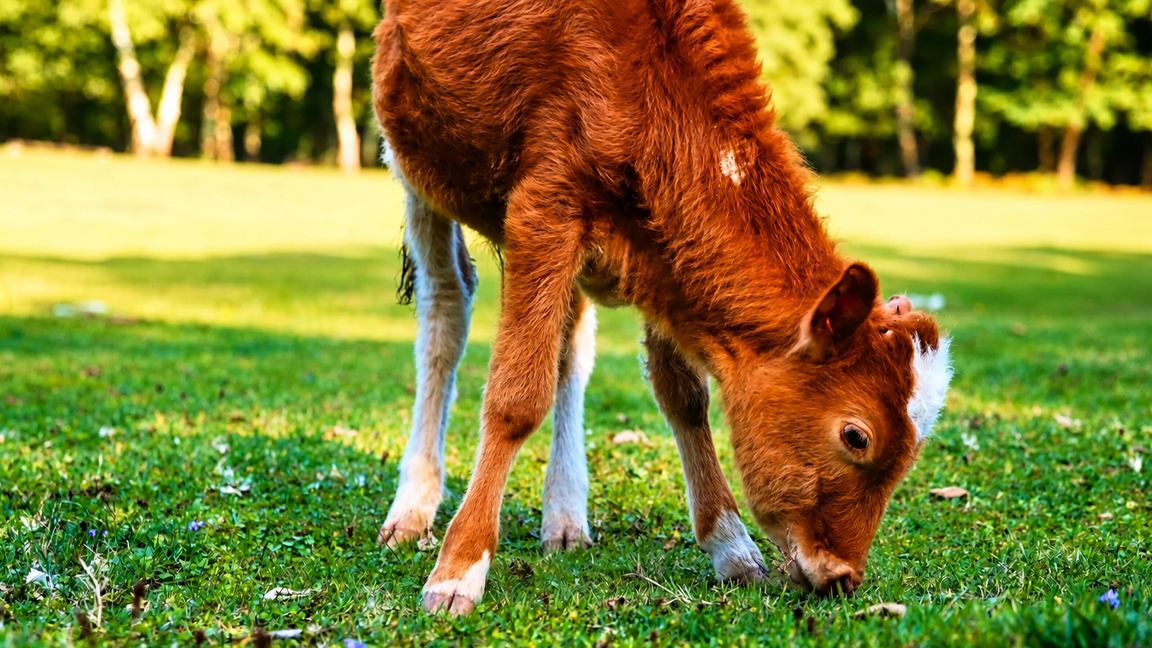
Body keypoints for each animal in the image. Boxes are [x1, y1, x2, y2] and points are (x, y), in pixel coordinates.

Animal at [371, 0, 953, 615]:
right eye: (857, 436)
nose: (843, 575)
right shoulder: (544, 204)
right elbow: (516, 397)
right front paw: (459, 569)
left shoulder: (665, 249)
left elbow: (684, 395)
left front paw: (730, 545)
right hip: (414, 162)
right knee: (447, 306)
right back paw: (413, 508)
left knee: (571, 345)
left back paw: (565, 514)